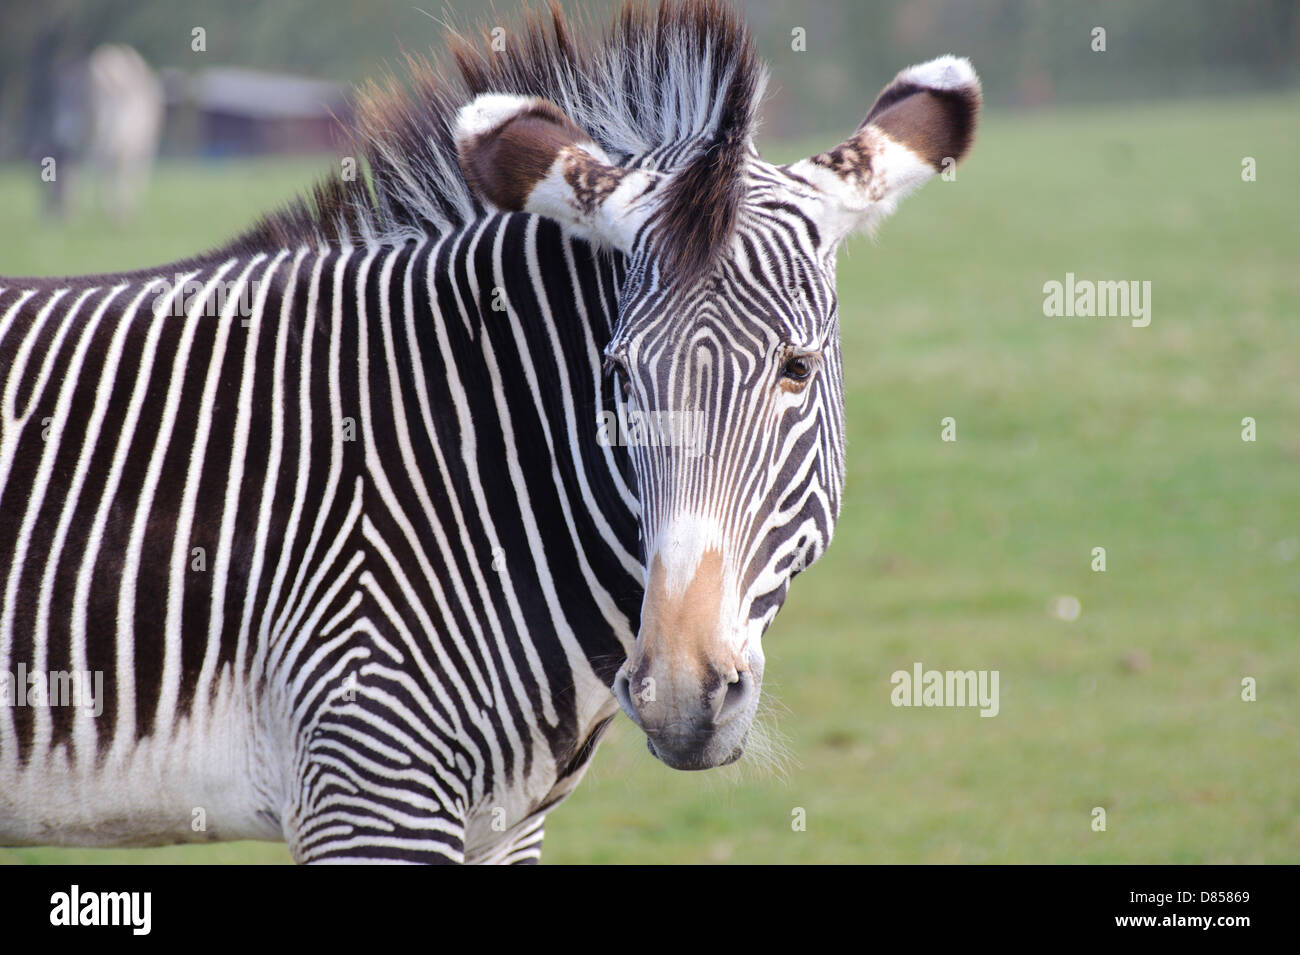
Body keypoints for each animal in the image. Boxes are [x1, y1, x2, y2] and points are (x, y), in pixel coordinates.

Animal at [0, 0, 980, 863]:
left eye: (797, 369)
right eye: (617, 375)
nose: (678, 696)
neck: (466, 475)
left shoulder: (501, 823)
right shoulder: (367, 787)